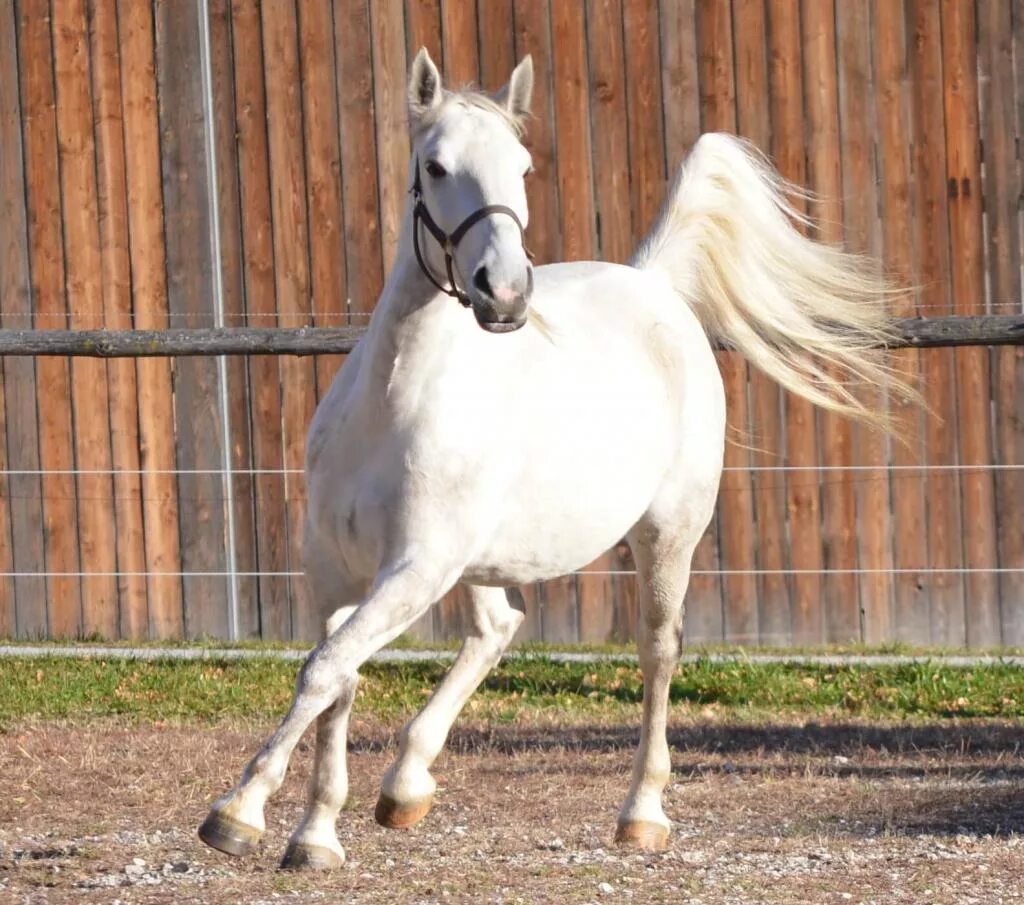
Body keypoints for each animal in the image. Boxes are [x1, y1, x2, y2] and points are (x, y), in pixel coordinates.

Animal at [197, 49, 905, 868]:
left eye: (524, 166)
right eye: (434, 165)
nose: (504, 294)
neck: (393, 402)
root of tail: (653, 282)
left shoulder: (413, 568)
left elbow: (325, 670)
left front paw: (239, 811)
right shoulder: (335, 571)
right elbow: (337, 680)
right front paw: (314, 834)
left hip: (665, 535)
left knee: (657, 649)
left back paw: (641, 813)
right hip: (476, 562)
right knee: (497, 627)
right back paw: (406, 785)